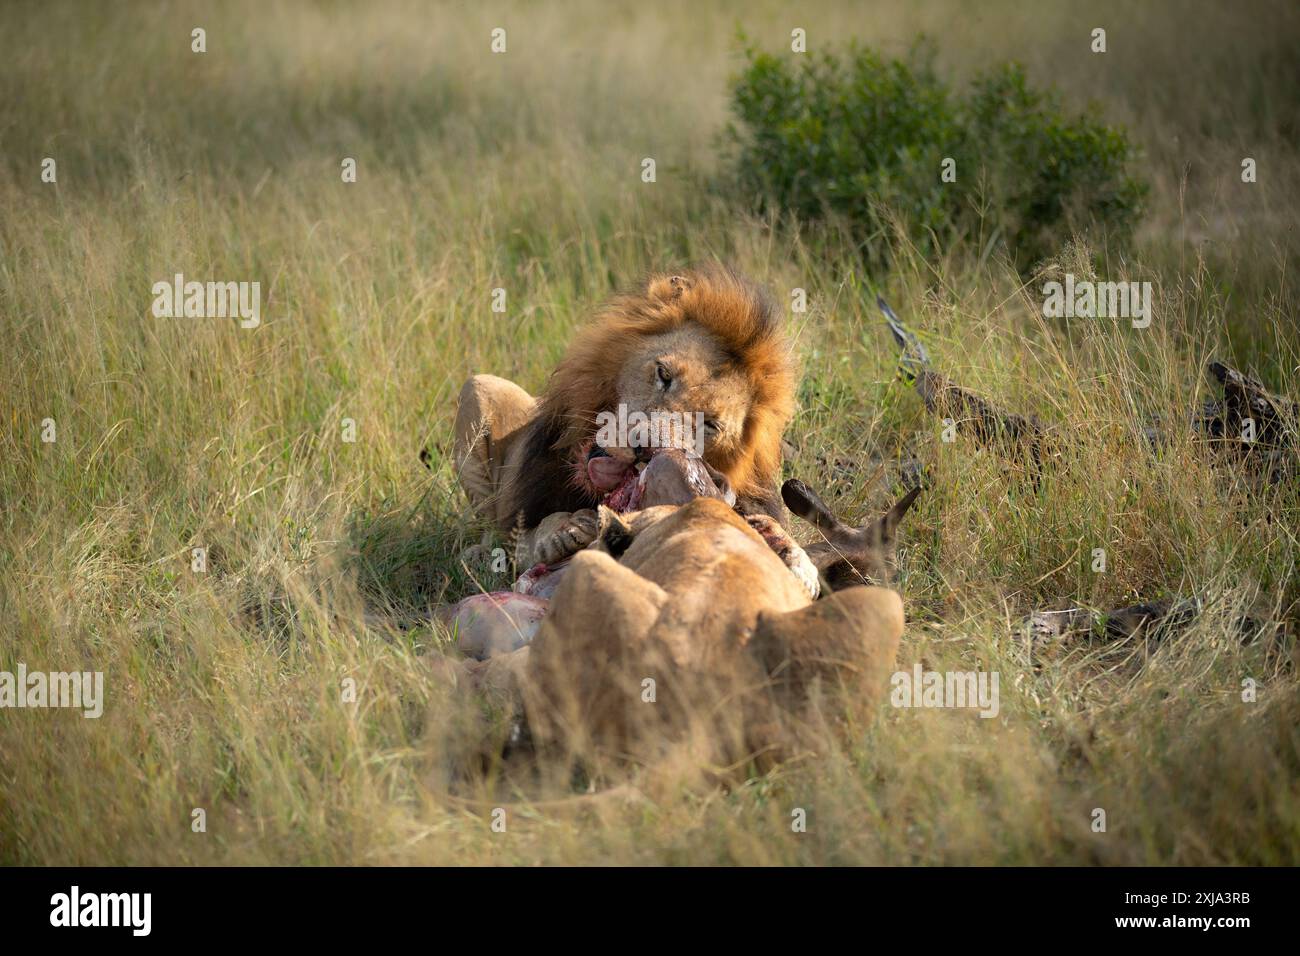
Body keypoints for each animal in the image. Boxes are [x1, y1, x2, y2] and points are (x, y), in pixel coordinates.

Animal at [452, 266, 796, 564]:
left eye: (709, 425)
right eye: (664, 374)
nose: (643, 447)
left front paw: (780, 542)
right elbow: (534, 527)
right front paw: (565, 530)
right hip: (478, 385)